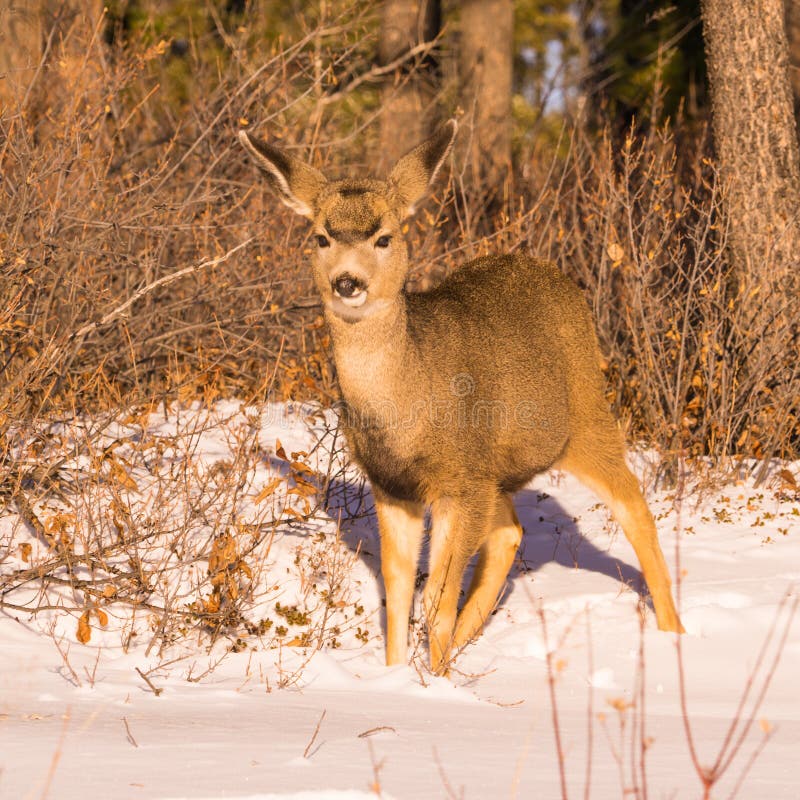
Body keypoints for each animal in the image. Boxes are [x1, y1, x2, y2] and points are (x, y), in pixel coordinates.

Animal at [238, 119, 684, 676]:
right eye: (321, 236)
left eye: (384, 237)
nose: (347, 282)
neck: (406, 410)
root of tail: (556, 275)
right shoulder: (395, 486)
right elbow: (399, 591)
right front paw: (399, 676)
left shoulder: (460, 481)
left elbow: (437, 598)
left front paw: (437, 682)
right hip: (497, 470)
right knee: (510, 531)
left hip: (584, 416)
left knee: (633, 504)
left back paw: (673, 633)